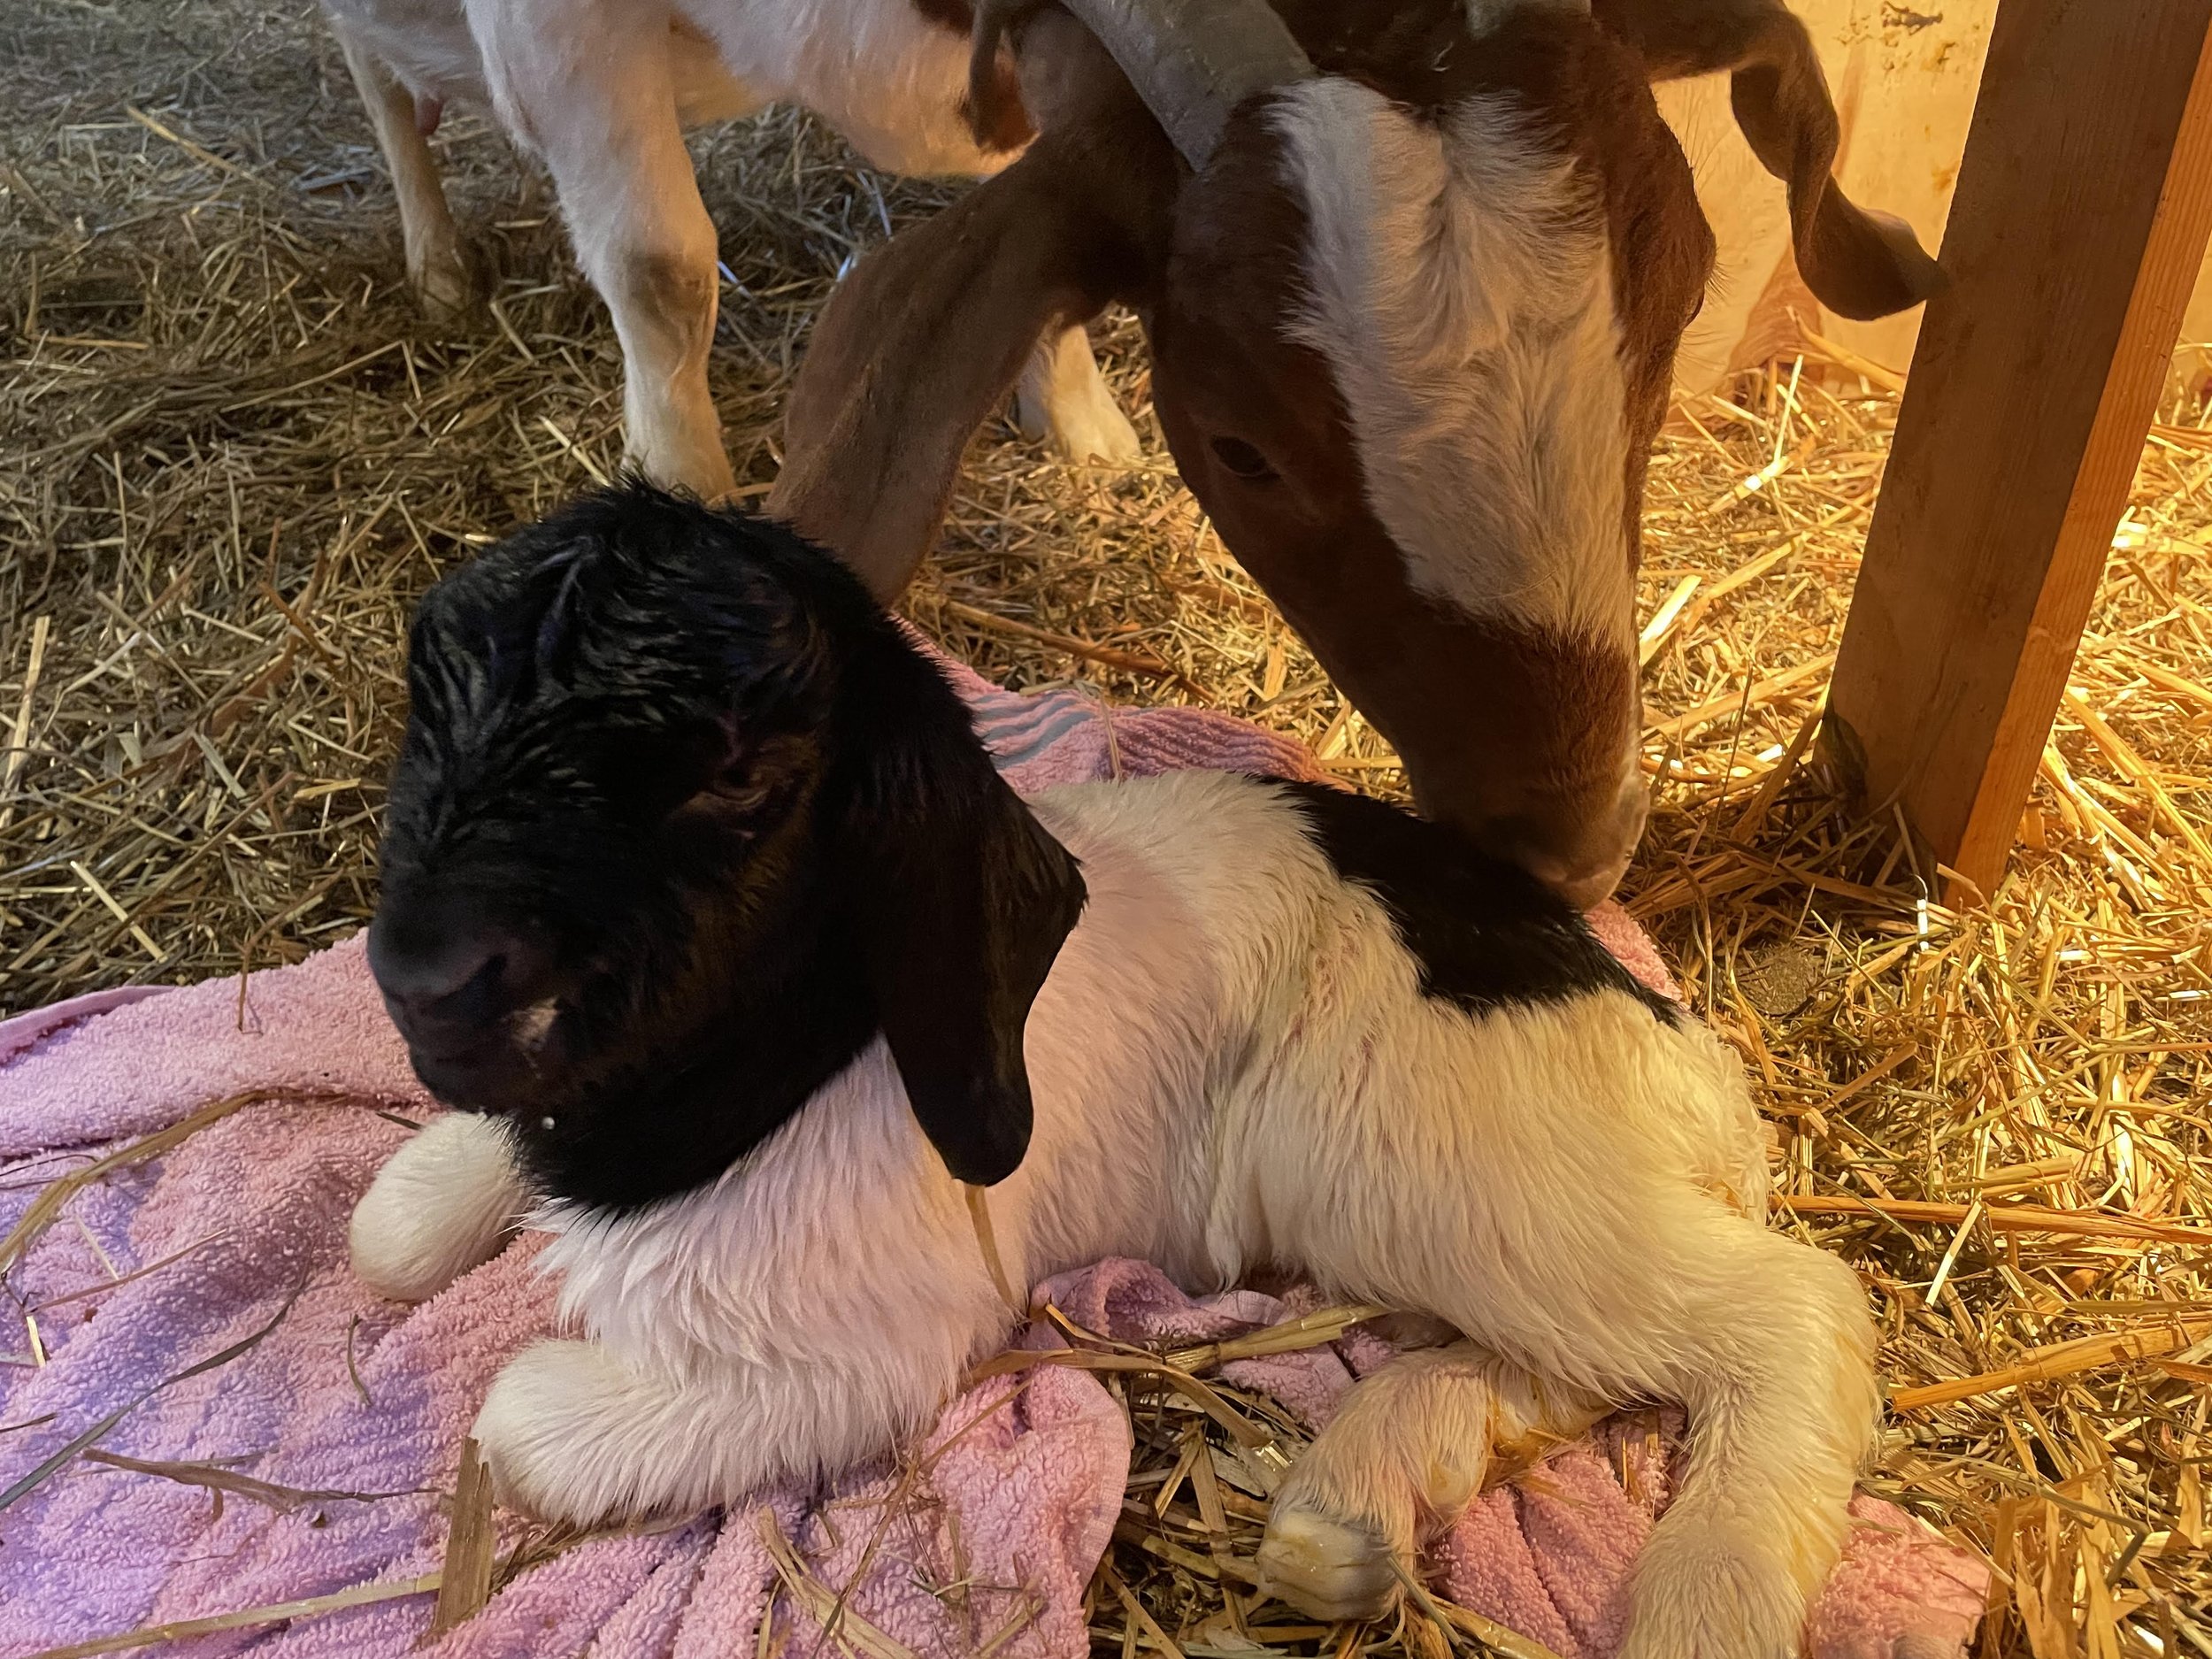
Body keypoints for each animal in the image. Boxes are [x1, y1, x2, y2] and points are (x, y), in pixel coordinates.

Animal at [317, 0, 1144, 487]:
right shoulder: (558, 32)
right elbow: (658, 269)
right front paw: (679, 479)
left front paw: (1082, 426)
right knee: (378, 87)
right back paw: (441, 274)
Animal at [350, 485, 1879, 1658]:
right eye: (434, 696)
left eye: (737, 769)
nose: (421, 970)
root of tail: (1692, 1069)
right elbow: (406, 1221)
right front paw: (417, 1200)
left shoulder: (851, 1345)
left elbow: (528, 1415)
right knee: (1592, 1354)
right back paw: (1357, 1501)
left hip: (1426, 1161)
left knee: (1785, 1305)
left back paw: (1699, 1602)